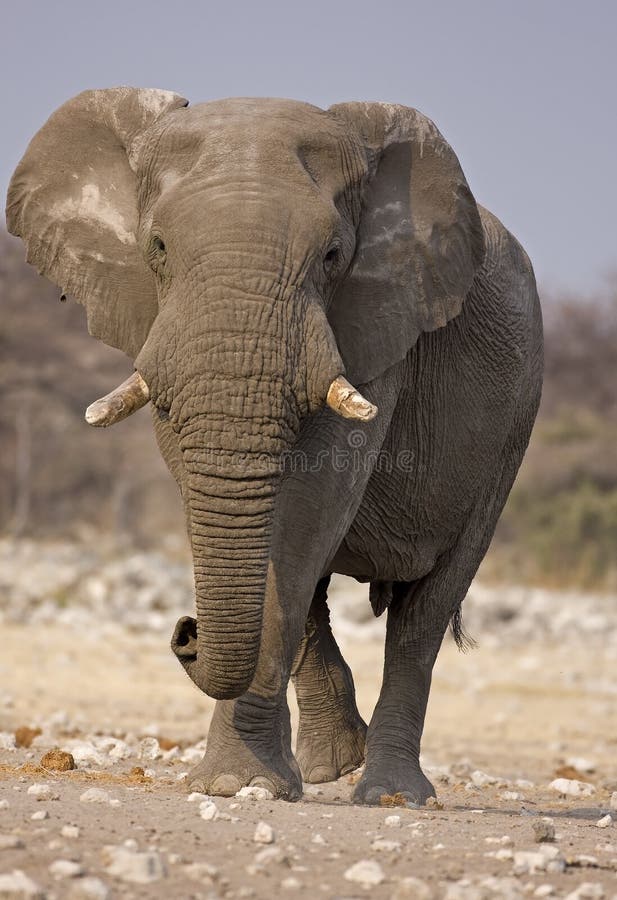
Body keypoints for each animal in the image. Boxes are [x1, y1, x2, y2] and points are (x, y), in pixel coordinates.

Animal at [6, 87, 543, 805]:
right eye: (157, 246)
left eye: (333, 255)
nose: (186, 631)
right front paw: (241, 783)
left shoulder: (377, 321)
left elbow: (310, 500)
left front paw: (238, 784)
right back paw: (333, 764)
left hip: (515, 424)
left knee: (424, 610)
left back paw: (389, 793)